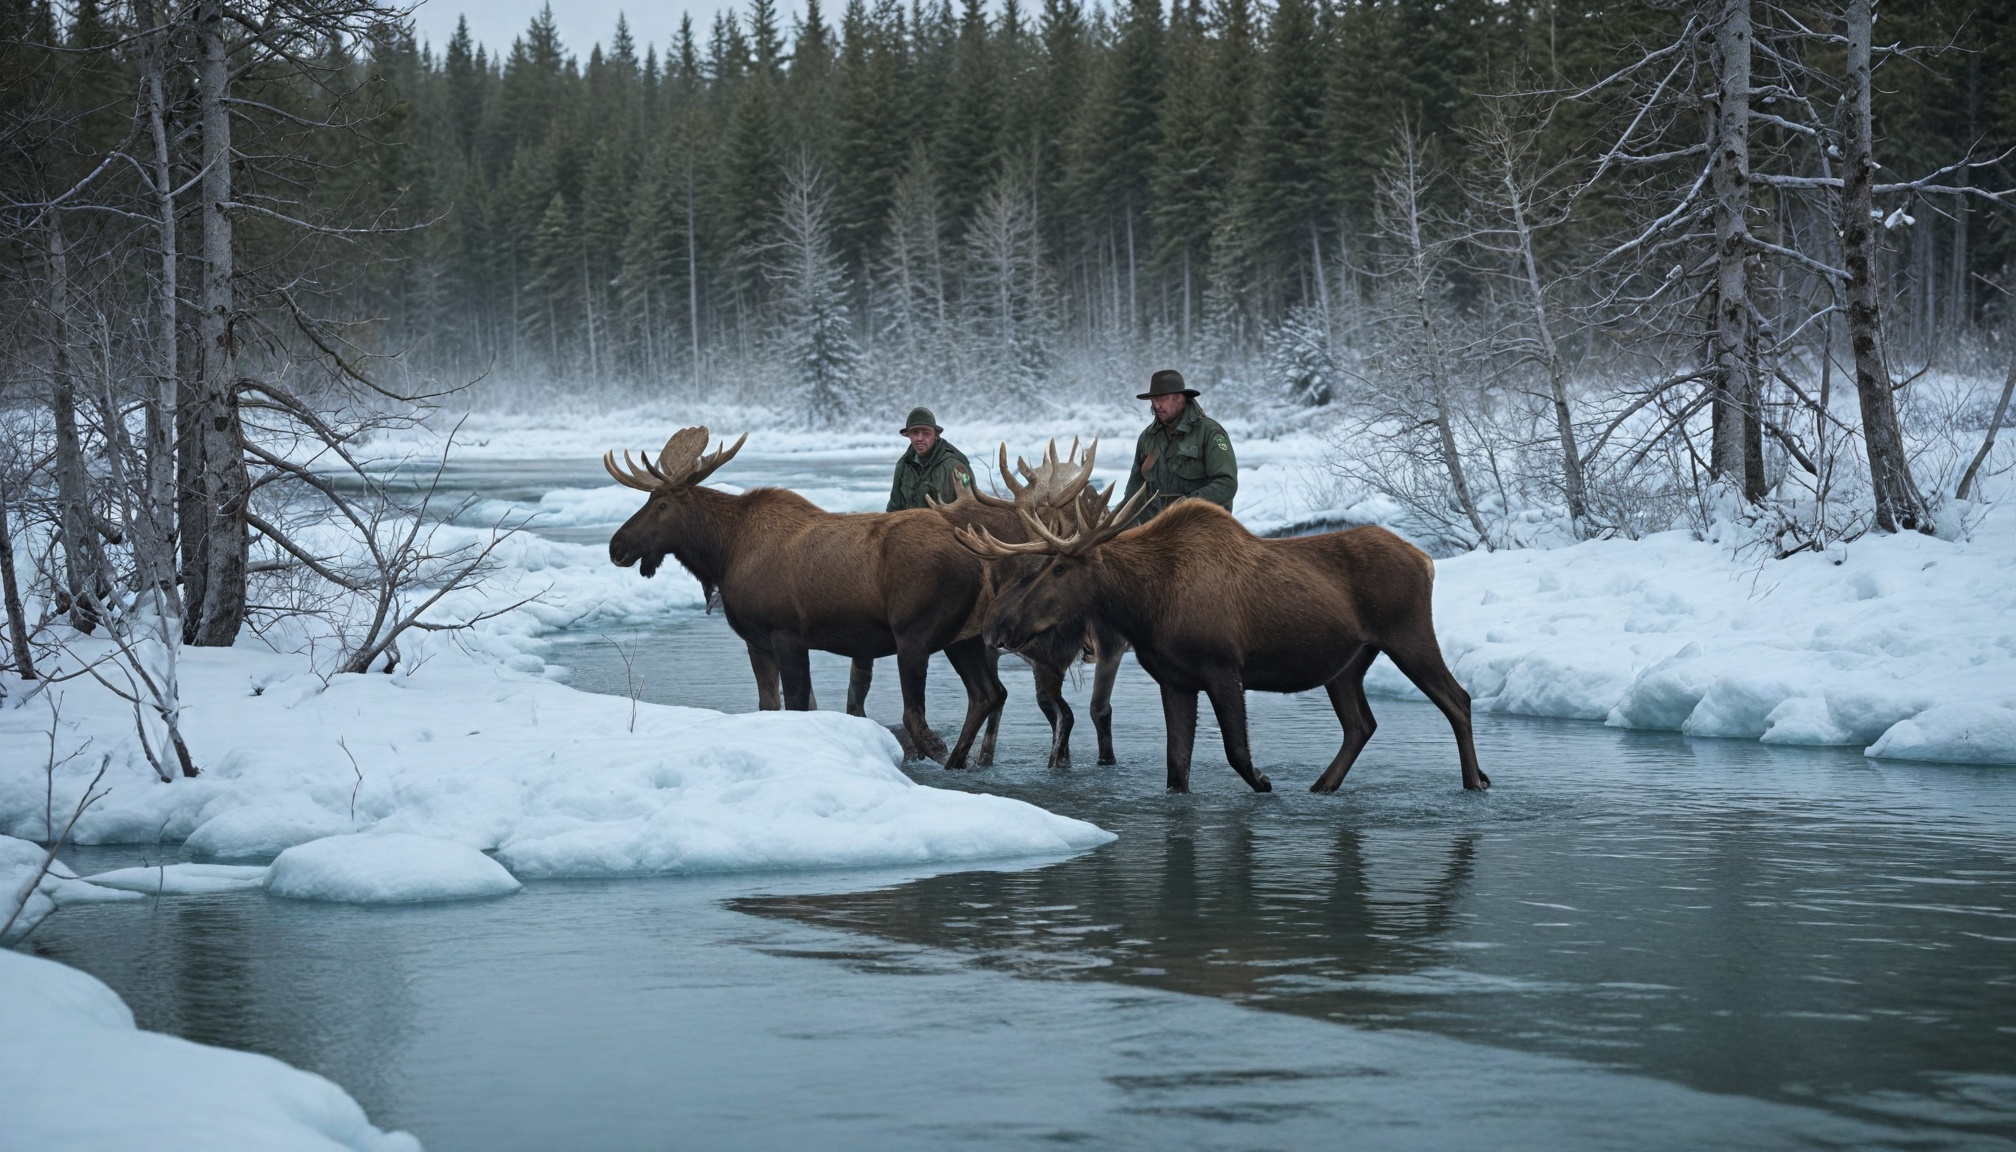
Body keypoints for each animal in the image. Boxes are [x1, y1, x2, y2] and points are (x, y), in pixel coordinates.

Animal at [967, 484, 1491, 794]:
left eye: (1056, 567)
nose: (998, 626)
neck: (1146, 603)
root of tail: (1427, 560)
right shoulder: (1175, 679)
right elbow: (1177, 766)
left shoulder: (1223, 668)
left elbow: (1237, 751)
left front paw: (1265, 781)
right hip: (1347, 664)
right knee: (1361, 724)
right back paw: (1322, 785)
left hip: (1409, 637)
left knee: (1458, 699)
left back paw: (1475, 781)